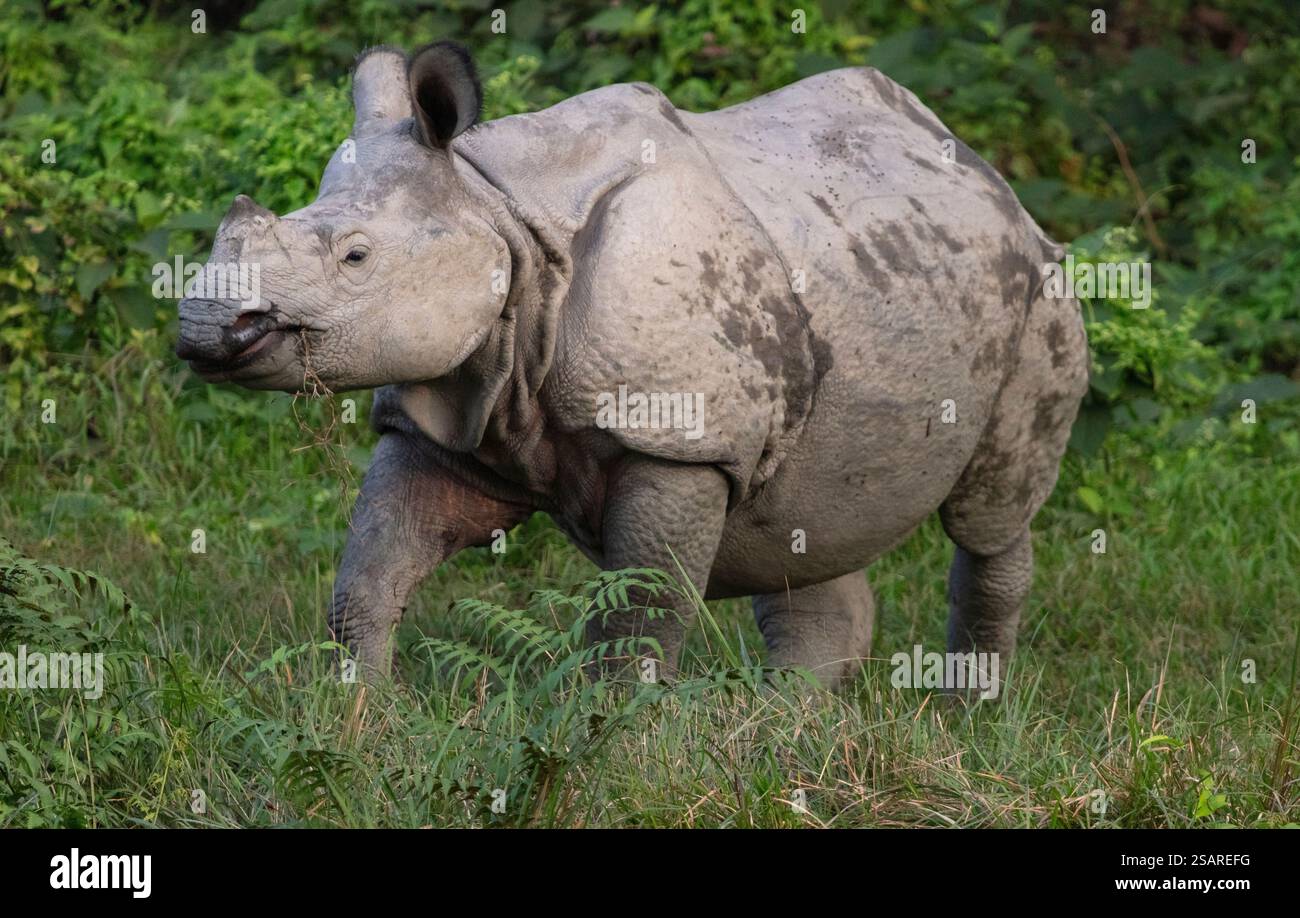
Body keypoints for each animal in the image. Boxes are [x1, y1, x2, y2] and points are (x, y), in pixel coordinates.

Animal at [176, 41, 1089, 694]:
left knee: (989, 516)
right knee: (806, 527)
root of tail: (985, 172)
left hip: (1039, 292)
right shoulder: (449, 413)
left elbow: (639, 614)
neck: (497, 212)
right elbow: (369, 573)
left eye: (357, 257)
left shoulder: (680, 439)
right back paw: (789, 733)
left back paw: (970, 715)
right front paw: (359, 719)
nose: (203, 327)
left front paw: (611, 740)